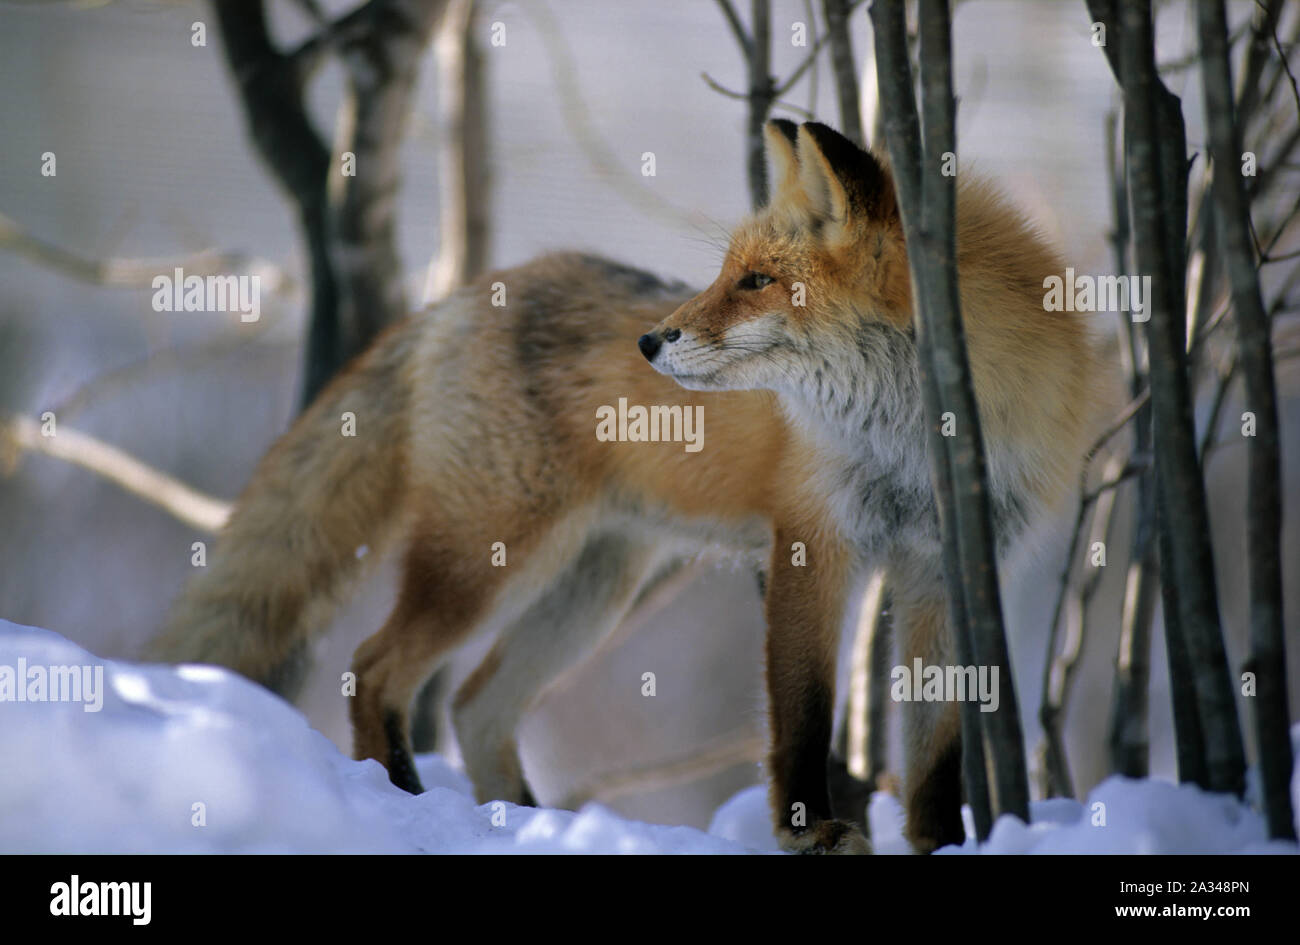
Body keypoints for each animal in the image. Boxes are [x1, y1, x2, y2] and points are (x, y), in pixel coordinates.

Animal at [148, 120, 1105, 854]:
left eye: (757, 280)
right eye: (726, 271)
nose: (651, 340)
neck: (914, 438)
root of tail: (465, 295)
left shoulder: (946, 565)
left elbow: (937, 748)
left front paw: (942, 843)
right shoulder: (812, 542)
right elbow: (802, 710)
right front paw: (809, 832)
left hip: (593, 584)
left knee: (475, 702)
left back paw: (525, 823)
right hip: (492, 558)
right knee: (376, 667)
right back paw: (405, 799)